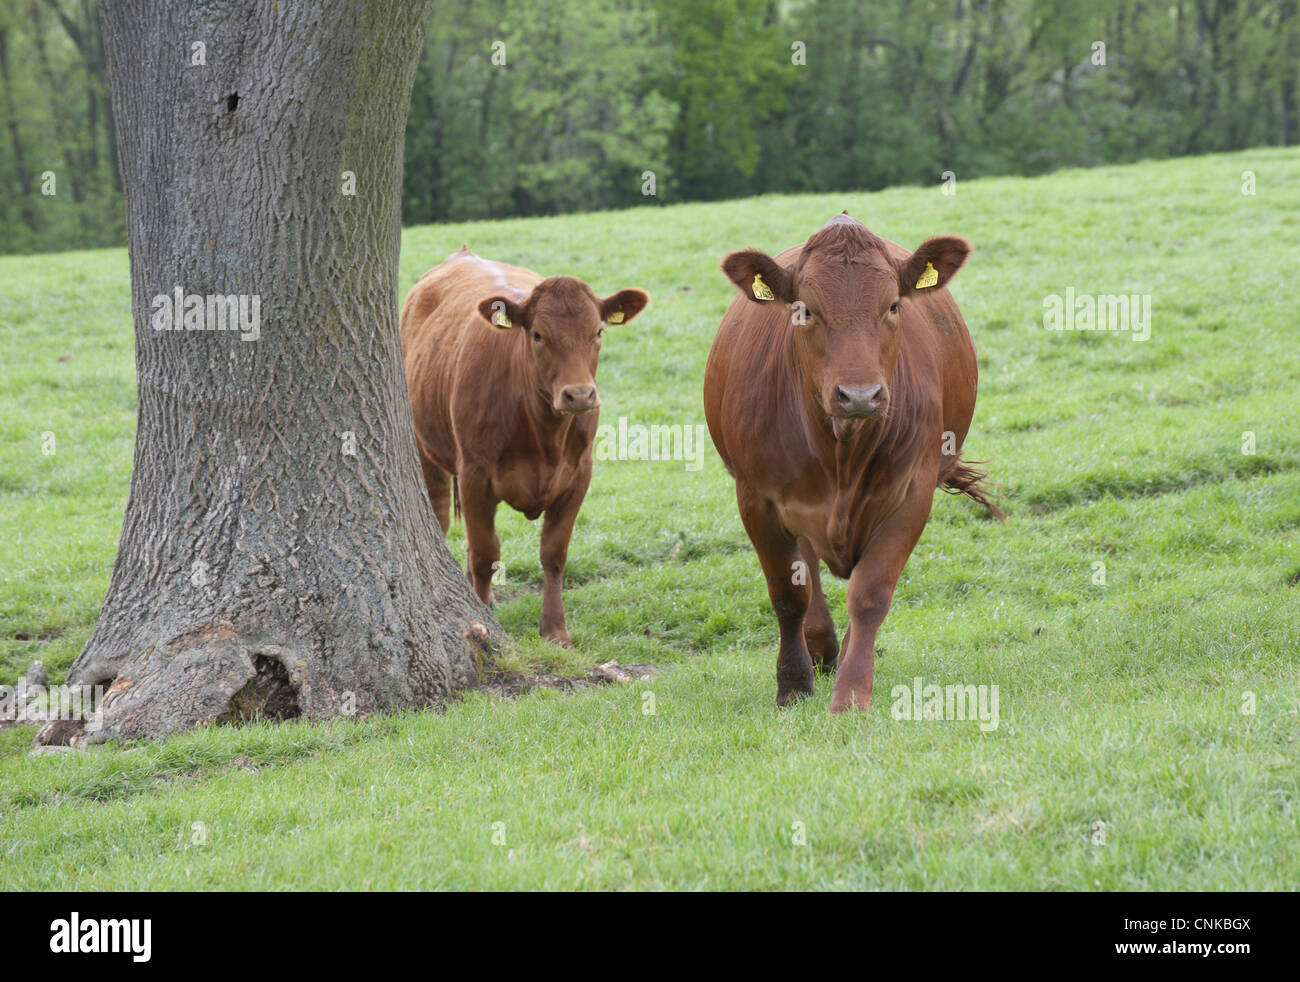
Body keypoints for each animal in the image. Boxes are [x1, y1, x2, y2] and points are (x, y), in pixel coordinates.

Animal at [401, 246, 649, 644]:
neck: (543, 432)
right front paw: (485, 618)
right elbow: (485, 554)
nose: (579, 394)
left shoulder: (579, 475)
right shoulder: (474, 474)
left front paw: (555, 629)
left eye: (598, 331)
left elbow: (553, 553)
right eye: (537, 334)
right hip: (428, 451)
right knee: (440, 519)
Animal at [703, 213, 999, 712]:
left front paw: (852, 694)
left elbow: (870, 596)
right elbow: (788, 595)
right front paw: (793, 685)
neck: (841, 453)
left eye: (893, 306)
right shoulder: (757, 499)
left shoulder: (911, 494)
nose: (859, 395)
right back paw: (819, 649)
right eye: (804, 310)